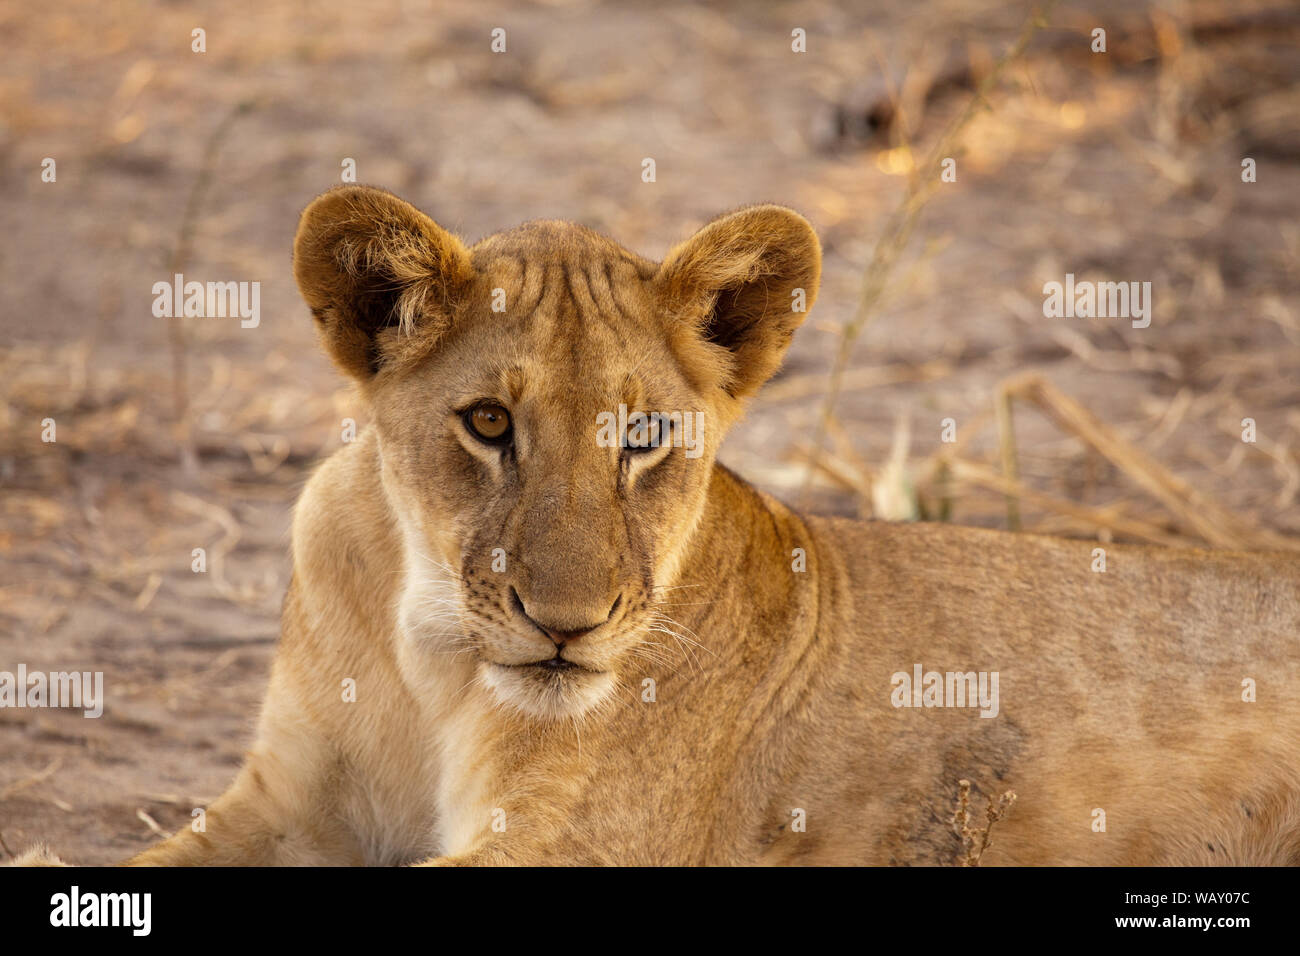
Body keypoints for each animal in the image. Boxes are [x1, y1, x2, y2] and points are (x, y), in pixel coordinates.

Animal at [21, 185, 1300, 865]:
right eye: (488, 421)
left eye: (642, 435)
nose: (567, 625)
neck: (426, 651)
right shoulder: (285, 802)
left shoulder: (572, 843)